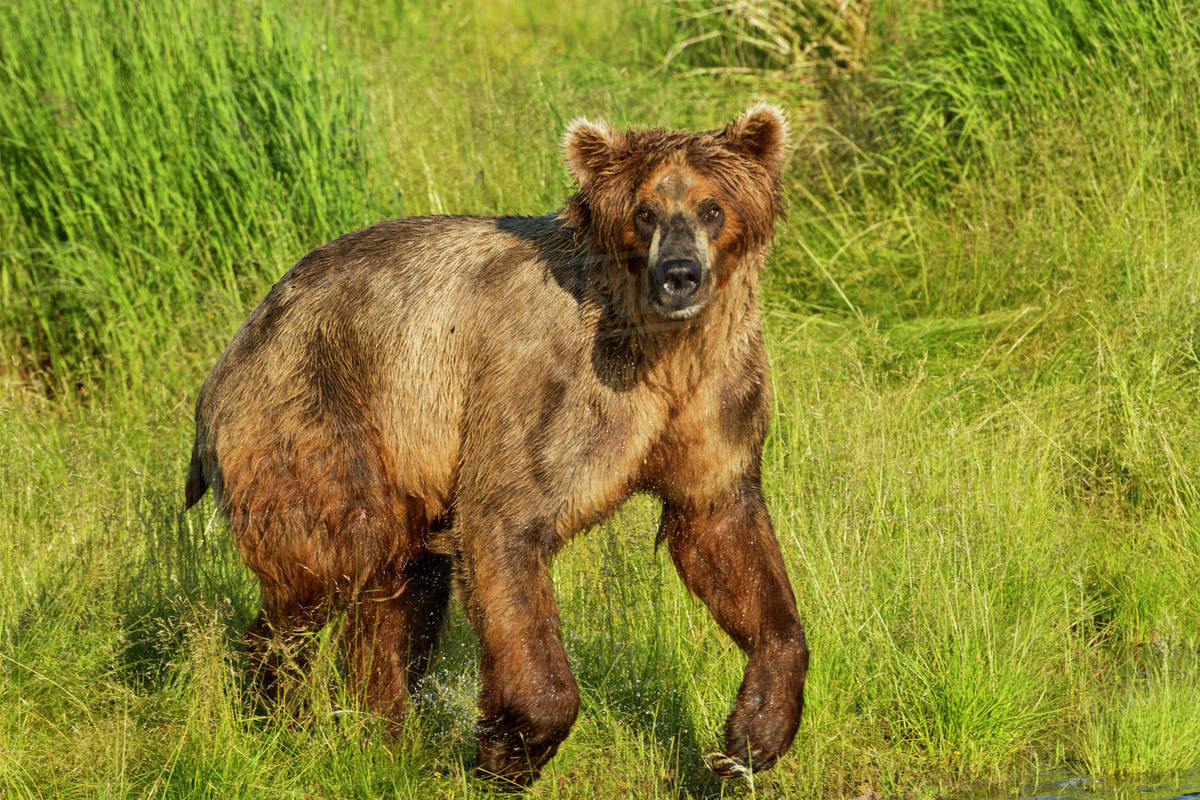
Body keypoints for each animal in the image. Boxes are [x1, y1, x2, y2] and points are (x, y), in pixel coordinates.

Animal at [185, 104, 808, 786]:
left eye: (711, 207)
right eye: (645, 211)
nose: (678, 275)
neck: (660, 349)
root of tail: (239, 339)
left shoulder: (712, 400)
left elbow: (724, 534)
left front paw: (751, 735)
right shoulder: (548, 392)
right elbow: (505, 526)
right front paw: (505, 748)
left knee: (400, 590)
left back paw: (384, 734)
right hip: (320, 403)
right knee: (336, 552)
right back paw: (280, 705)